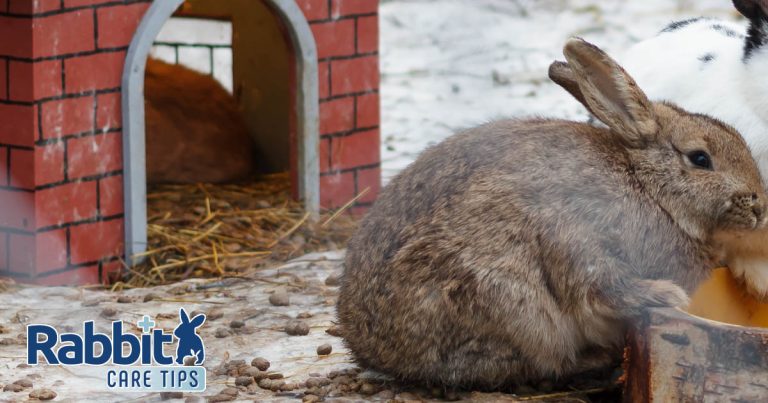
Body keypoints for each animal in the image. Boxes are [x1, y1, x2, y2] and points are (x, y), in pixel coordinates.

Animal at [337, 37, 767, 390]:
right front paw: (667, 295)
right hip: (508, 304)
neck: (648, 187)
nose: (759, 206)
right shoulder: (578, 240)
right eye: (700, 159)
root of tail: (369, 347)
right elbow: (603, 286)